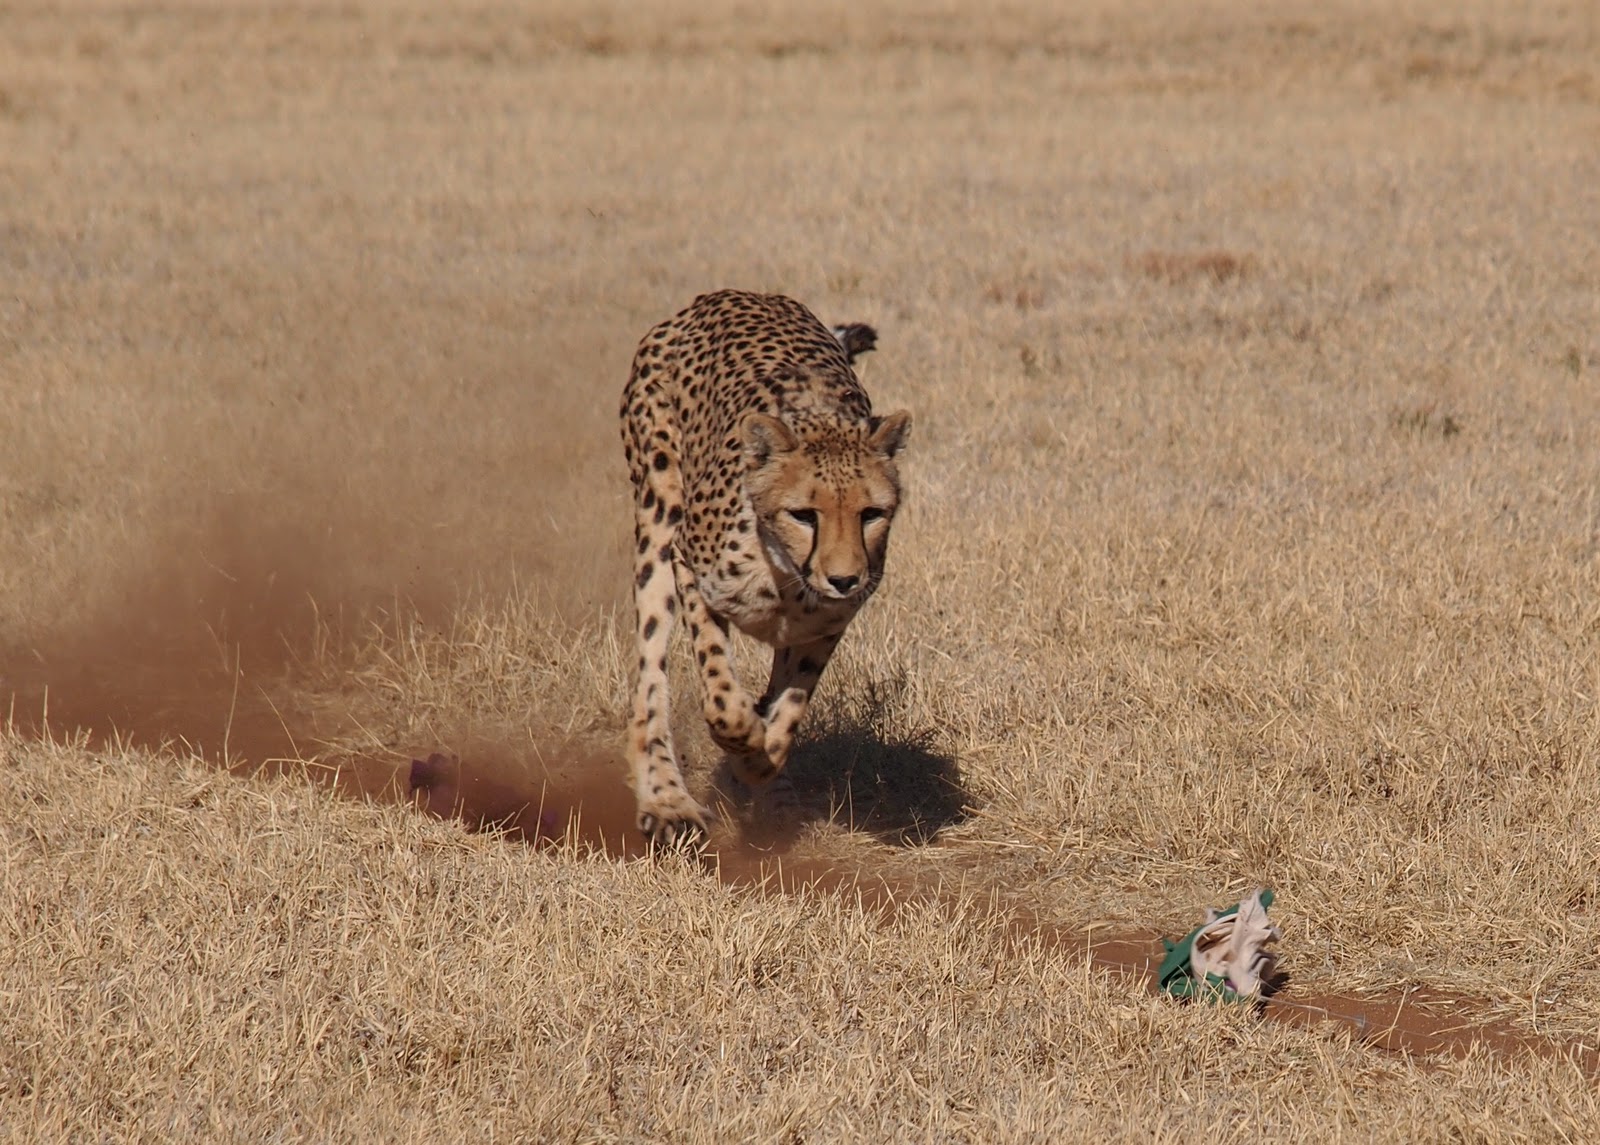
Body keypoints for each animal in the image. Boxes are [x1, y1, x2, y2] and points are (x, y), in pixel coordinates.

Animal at [619, 290, 912, 847]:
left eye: (870, 514)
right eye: (804, 514)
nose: (845, 578)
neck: (786, 579)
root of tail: (725, 295)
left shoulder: (829, 624)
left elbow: (791, 703)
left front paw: (759, 762)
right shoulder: (690, 566)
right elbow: (720, 688)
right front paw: (742, 737)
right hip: (658, 510)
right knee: (650, 679)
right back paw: (667, 800)